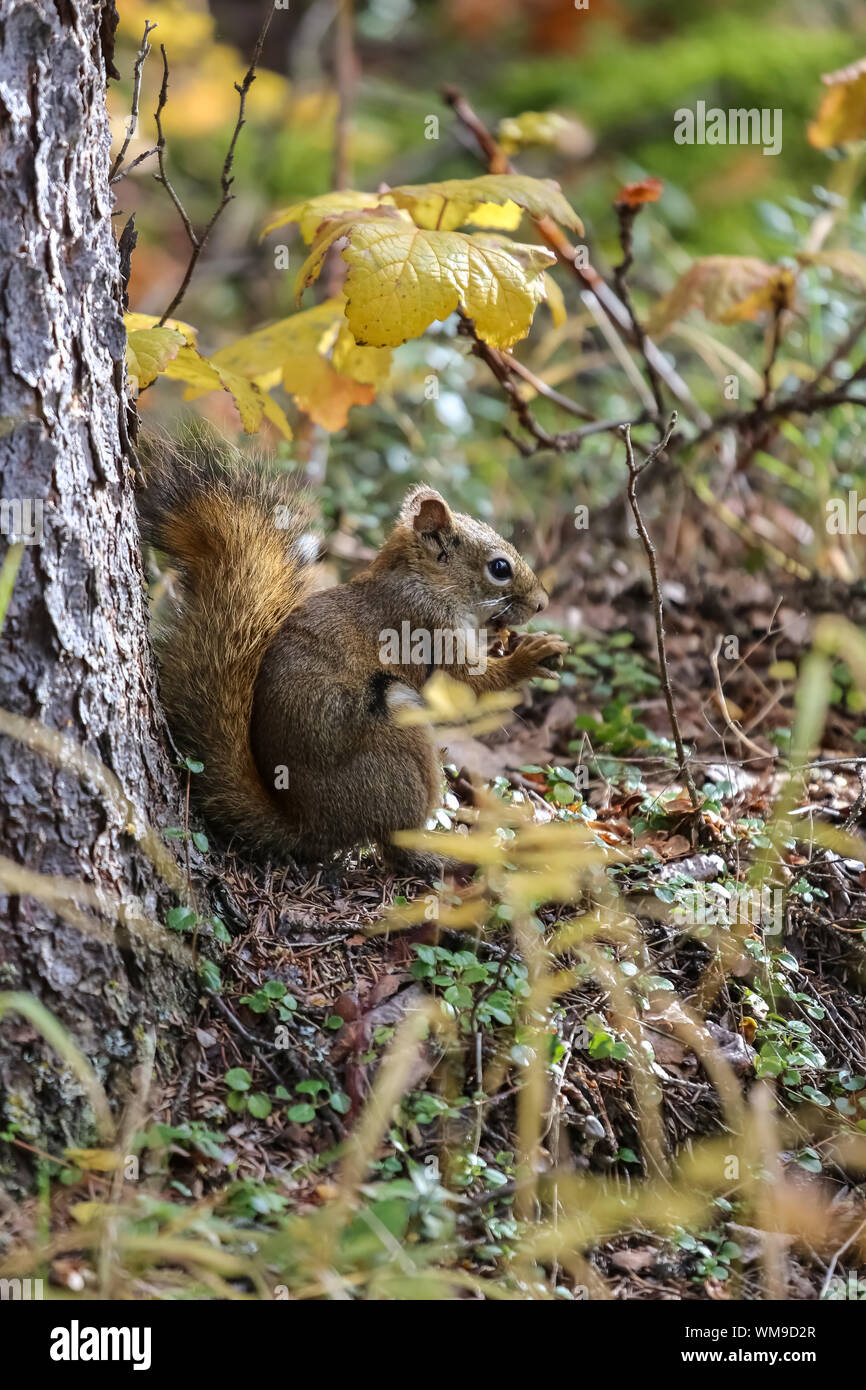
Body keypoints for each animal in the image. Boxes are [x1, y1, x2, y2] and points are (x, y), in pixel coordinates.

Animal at [138, 432, 568, 878]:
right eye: (499, 568)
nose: (542, 603)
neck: (424, 582)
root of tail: (310, 826)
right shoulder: (426, 627)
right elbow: (466, 686)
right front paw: (531, 656)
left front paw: (505, 638)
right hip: (394, 732)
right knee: (396, 846)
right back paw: (449, 857)